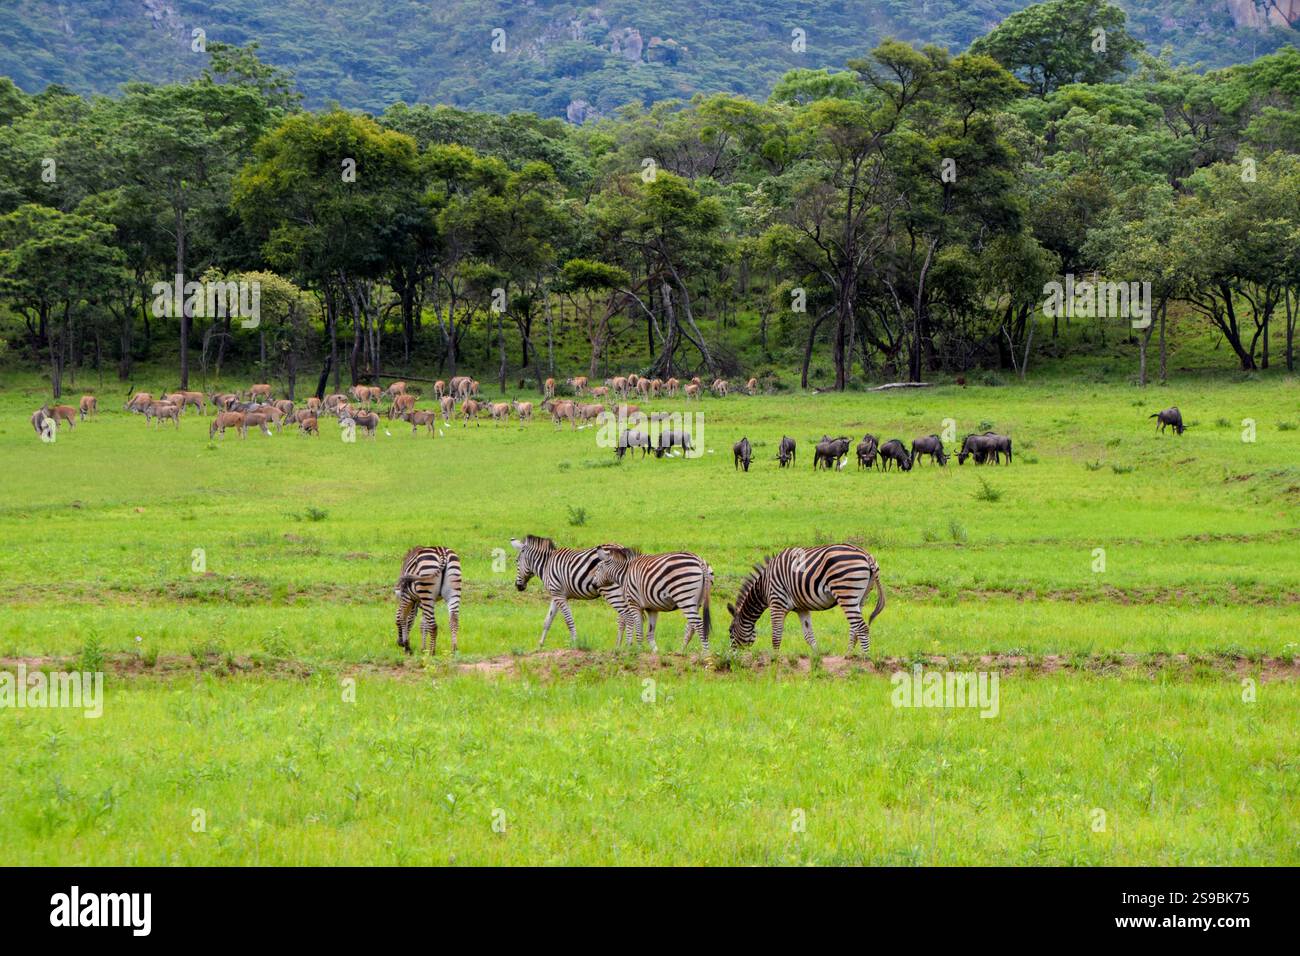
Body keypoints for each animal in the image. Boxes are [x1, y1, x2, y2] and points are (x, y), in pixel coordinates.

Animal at [726, 544, 885, 653]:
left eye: (730, 631)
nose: (732, 656)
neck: (763, 587)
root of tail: (866, 554)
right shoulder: (801, 608)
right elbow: (809, 635)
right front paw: (817, 656)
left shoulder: (776, 602)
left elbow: (776, 635)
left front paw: (774, 661)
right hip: (860, 598)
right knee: (854, 628)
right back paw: (848, 656)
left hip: (846, 593)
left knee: (862, 628)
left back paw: (864, 659)